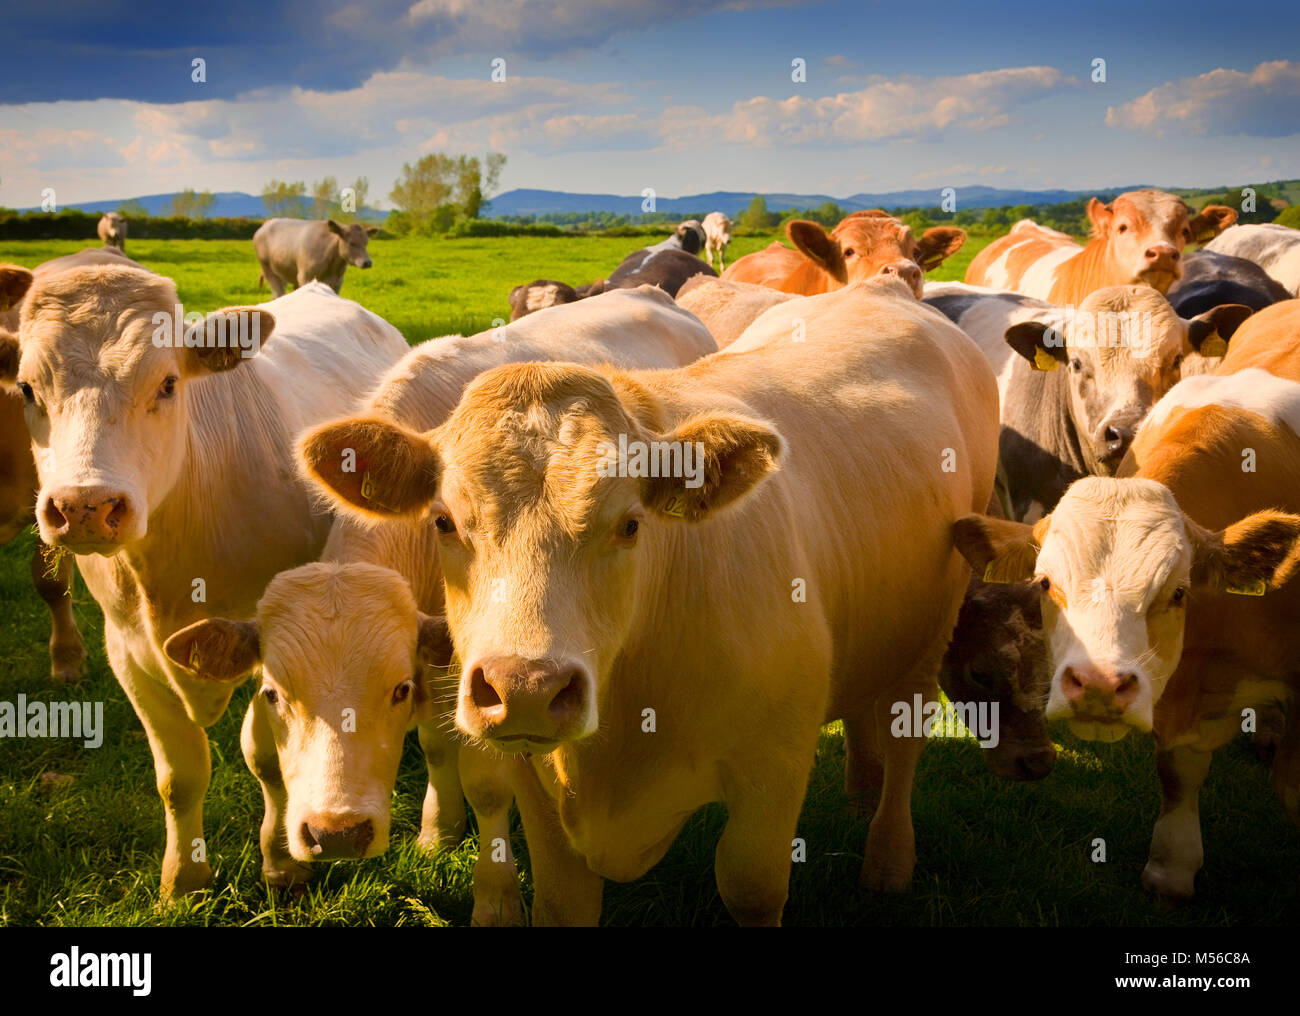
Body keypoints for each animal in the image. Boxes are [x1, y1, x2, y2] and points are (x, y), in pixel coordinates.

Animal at [11, 266, 408, 898]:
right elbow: (180, 774)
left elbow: (268, 758)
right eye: (27, 389)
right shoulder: (126, 651)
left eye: (168, 384)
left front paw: (282, 864)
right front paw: (184, 879)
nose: (85, 507)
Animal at [174, 286, 717, 919]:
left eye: (396, 690)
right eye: (272, 694)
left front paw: (492, 891)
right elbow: (403, 746)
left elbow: (483, 776)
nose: (336, 833)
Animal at [300, 277, 999, 925]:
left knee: (907, 733)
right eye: (444, 522)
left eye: (631, 524)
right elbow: (556, 891)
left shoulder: (774, 768)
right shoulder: (532, 783)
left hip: (935, 625)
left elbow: (750, 883)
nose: (526, 687)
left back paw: (888, 856)